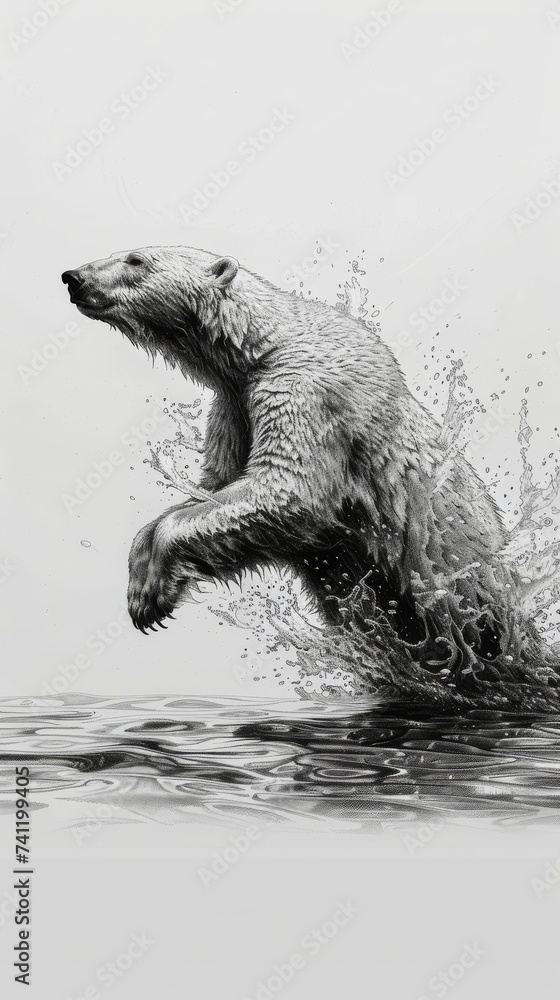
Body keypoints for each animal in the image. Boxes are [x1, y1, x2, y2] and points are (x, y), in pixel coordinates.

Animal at [61, 245, 545, 692]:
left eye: (135, 259)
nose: (73, 278)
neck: (263, 344)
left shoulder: (304, 392)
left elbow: (288, 491)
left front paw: (155, 583)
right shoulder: (234, 407)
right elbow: (217, 486)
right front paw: (142, 585)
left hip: (466, 597)